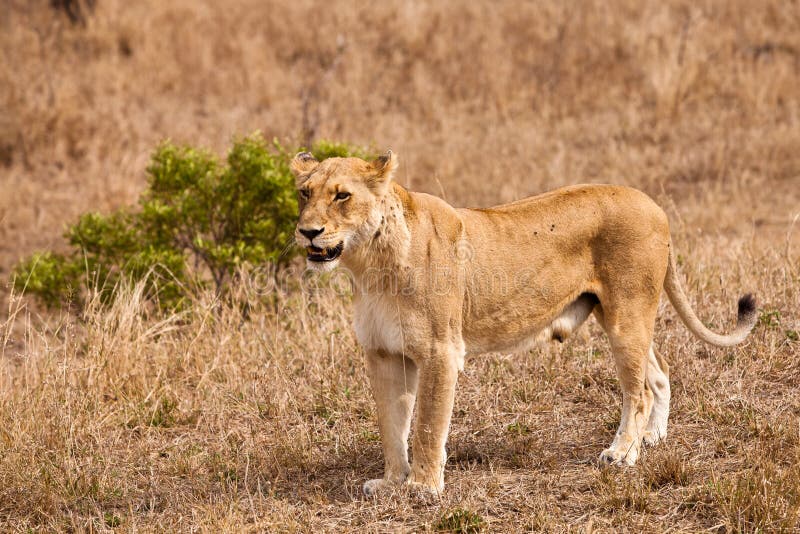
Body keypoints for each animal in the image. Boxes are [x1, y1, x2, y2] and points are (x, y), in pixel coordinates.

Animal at [290, 150, 757, 497]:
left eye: (342, 196)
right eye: (304, 193)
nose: (308, 232)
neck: (370, 266)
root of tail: (654, 205)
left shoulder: (441, 352)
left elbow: (426, 424)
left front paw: (423, 488)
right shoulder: (384, 353)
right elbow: (392, 425)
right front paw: (391, 483)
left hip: (628, 314)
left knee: (638, 389)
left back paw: (622, 455)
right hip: (620, 316)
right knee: (658, 374)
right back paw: (652, 440)